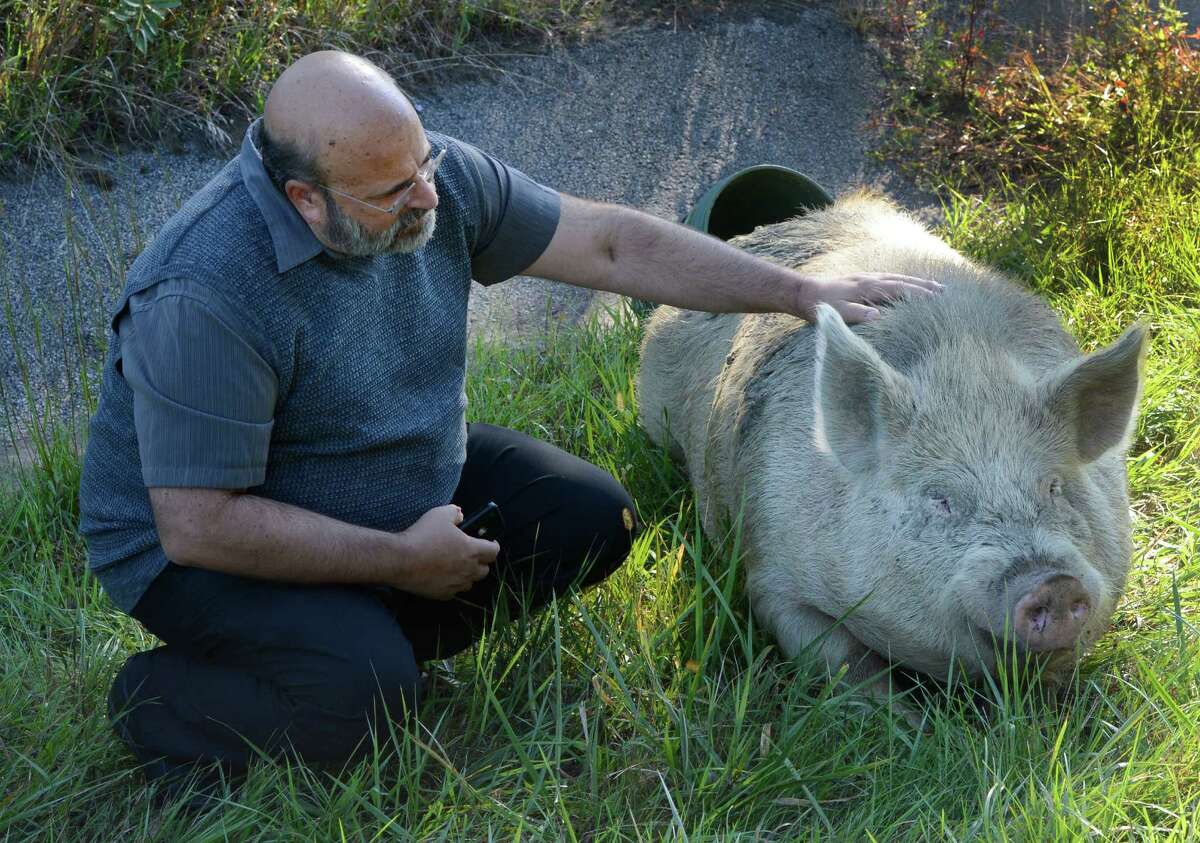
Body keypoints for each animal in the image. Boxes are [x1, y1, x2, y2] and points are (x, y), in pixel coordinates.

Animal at [637, 192, 1146, 719]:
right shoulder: (771, 571)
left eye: (1054, 486)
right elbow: (843, 660)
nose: (1053, 581)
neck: (964, 366)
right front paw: (910, 723)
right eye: (939, 498)